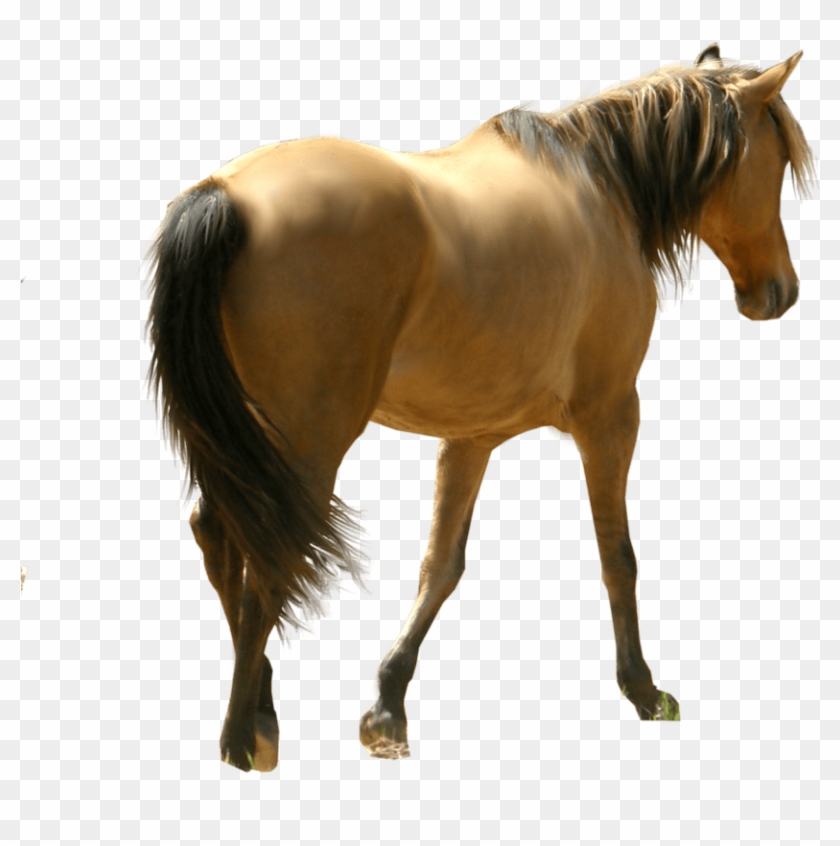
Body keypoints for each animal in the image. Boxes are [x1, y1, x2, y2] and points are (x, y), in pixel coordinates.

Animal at [147, 45, 813, 770]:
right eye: (777, 159)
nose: (779, 293)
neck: (602, 191)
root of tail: (226, 196)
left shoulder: (472, 436)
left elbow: (441, 565)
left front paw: (388, 705)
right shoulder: (611, 416)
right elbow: (618, 557)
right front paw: (643, 689)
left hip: (243, 438)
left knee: (219, 535)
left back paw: (261, 708)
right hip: (308, 440)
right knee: (266, 559)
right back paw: (242, 738)